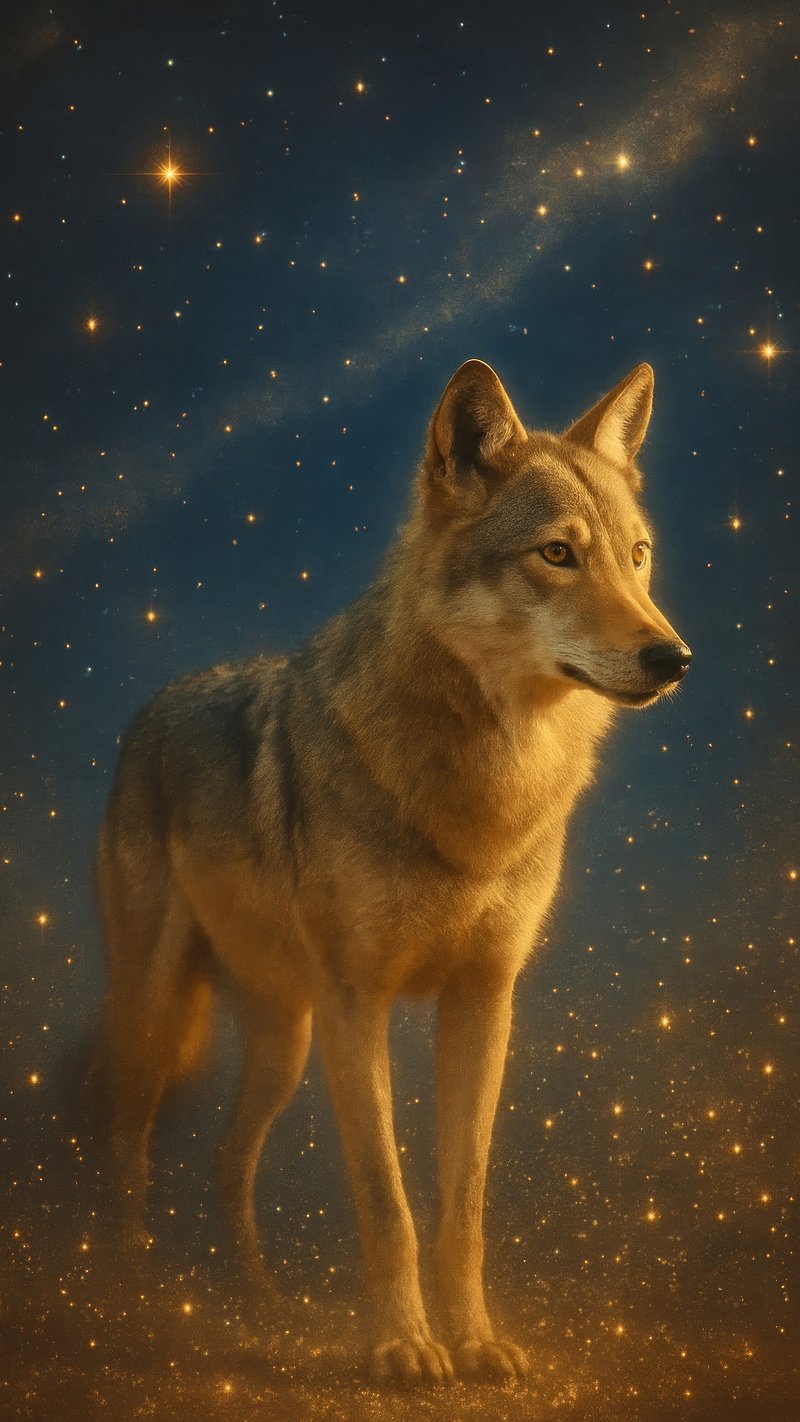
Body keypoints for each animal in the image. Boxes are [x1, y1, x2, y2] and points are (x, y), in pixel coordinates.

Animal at [93, 359, 690, 1385]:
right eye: (557, 555)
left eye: (638, 555)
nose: (674, 657)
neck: (488, 790)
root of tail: (152, 707)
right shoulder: (357, 1002)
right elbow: (388, 1203)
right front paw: (404, 1347)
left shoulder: (484, 1001)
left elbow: (462, 1206)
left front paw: (475, 1342)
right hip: (167, 1016)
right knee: (125, 1155)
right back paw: (136, 1306)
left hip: (285, 1045)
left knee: (224, 1163)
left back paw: (254, 1302)